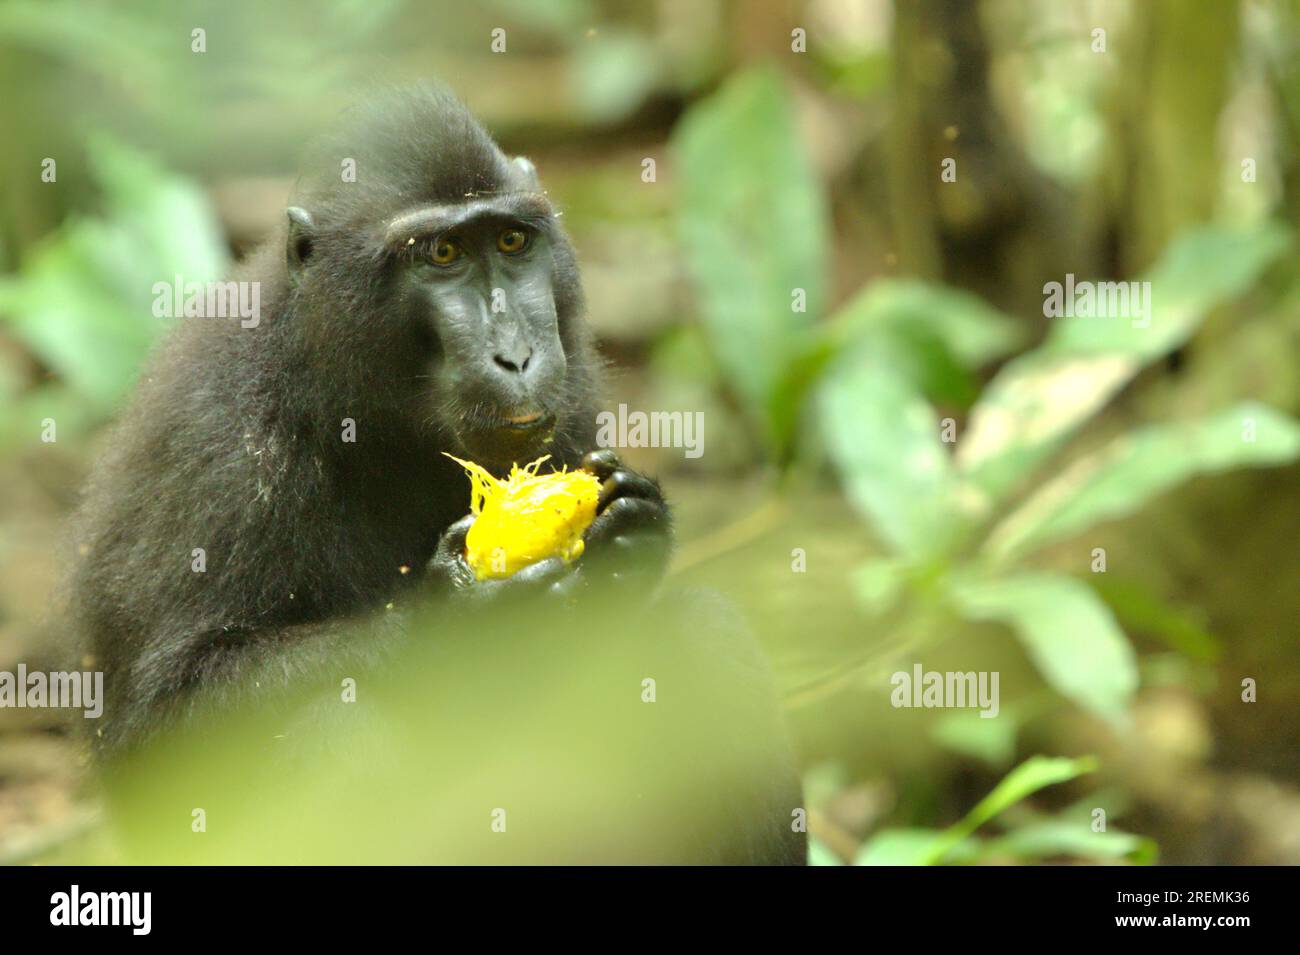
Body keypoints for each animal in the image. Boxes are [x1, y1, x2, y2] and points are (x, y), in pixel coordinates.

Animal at [69, 85, 805, 864]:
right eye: (442, 253)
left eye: (511, 242)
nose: (516, 355)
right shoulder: (221, 439)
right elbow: (162, 723)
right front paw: (454, 623)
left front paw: (633, 534)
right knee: (333, 733)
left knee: (707, 630)